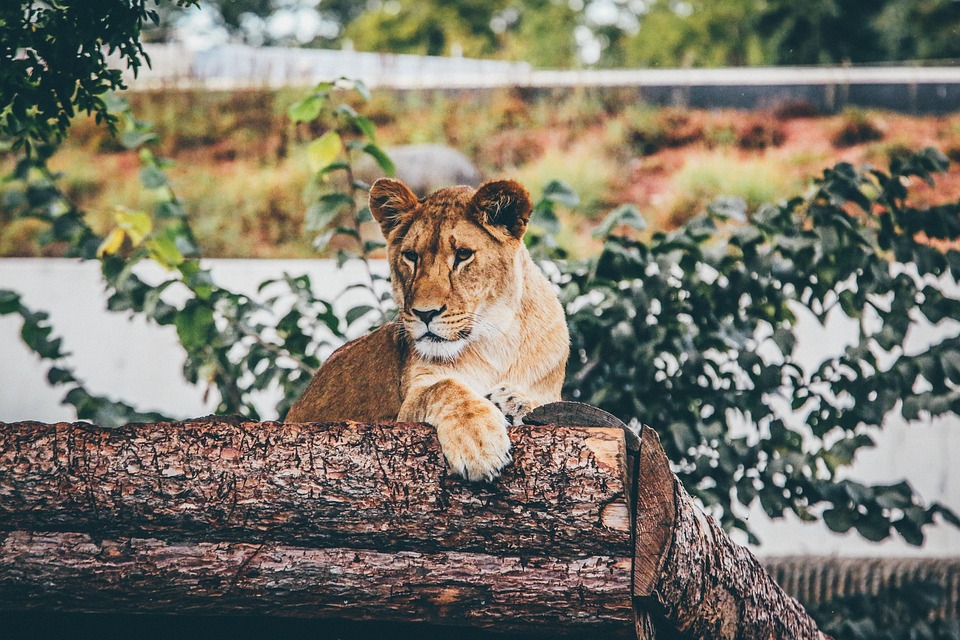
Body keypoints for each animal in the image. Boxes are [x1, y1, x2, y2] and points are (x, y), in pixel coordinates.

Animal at [286, 178, 570, 481]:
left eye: (463, 255)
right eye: (411, 256)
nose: (425, 313)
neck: (495, 337)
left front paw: (515, 401)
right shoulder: (406, 406)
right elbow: (445, 388)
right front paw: (479, 443)